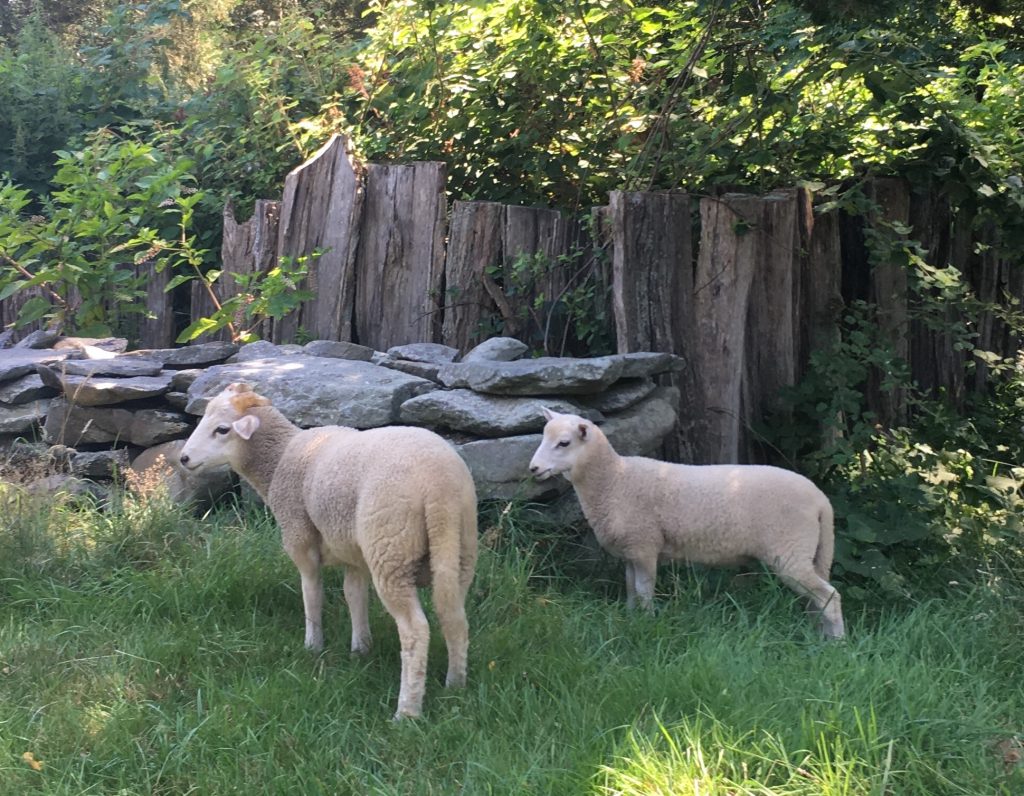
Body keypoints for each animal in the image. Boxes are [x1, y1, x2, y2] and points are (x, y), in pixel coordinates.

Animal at [179, 382, 479, 719]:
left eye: (222, 429)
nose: (184, 458)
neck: (280, 457)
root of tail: (439, 486)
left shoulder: (300, 537)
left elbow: (312, 591)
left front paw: (313, 645)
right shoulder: (353, 552)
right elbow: (354, 595)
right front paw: (360, 649)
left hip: (391, 546)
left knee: (415, 630)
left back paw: (407, 711)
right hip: (459, 547)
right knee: (455, 617)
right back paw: (455, 684)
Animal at [528, 408, 844, 638]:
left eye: (564, 443)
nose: (533, 469)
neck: (614, 480)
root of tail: (821, 501)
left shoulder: (645, 546)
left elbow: (644, 591)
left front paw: (647, 623)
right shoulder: (631, 551)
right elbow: (630, 590)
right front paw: (630, 620)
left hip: (789, 550)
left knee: (829, 596)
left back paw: (837, 645)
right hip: (807, 553)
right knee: (818, 599)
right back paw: (820, 638)